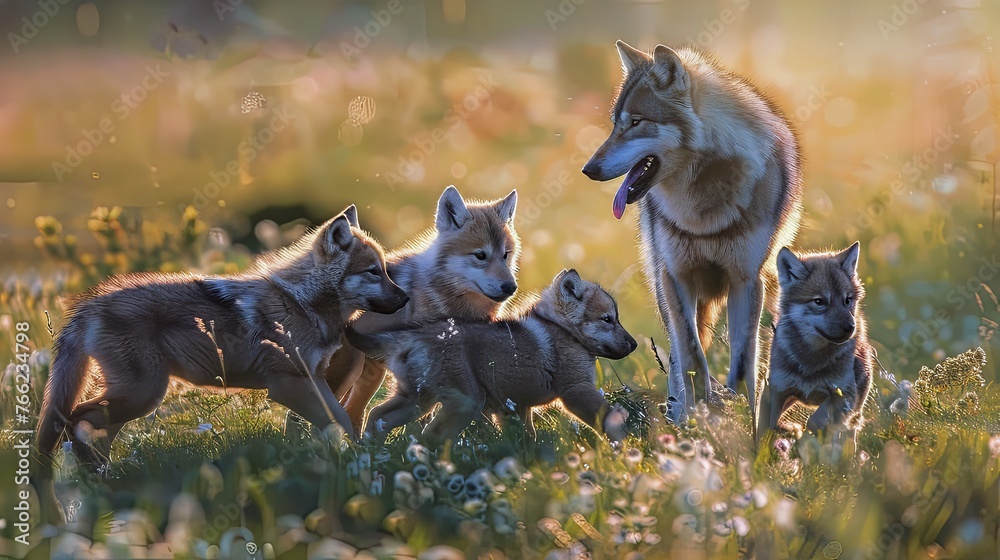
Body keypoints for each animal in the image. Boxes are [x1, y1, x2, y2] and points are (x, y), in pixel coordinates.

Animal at [36, 206, 408, 468]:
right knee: (75, 420)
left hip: (132, 399)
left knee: (89, 431)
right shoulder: (287, 384)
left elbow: (330, 422)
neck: (302, 302)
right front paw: (354, 459)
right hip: (143, 395)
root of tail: (89, 304)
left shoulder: (312, 380)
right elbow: (340, 421)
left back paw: (102, 478)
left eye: (386, 271)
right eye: (374, 272)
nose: (405, 298)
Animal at [347, 269, 636, 445]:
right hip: (464, 402)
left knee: (377, 415)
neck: (562, 329)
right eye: (608, 319)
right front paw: (627, 447)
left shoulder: (516, 407)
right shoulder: (576, 391)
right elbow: (609, 420)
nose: (634, 345)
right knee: (430, 435)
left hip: (416, 400)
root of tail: (413, 337)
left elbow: (526, 437)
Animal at [582, 41, 803, 427]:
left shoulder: (747, 280)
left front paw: (741, 418)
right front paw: (699, 415)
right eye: (614, 125)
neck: (705, 205)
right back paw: (678, 414)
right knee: (676, 356)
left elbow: (743, 362)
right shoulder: (677, 276)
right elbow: (692, 356)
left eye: (636, 123)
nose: (588, 169)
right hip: (663, 288)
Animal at [756, 242, 873, 439]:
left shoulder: (844, 395)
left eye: (847, 300)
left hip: (854, 413)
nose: (850, 327)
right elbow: (765, 428)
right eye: (819, 302)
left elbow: (817, 419)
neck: (811, 361)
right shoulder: (775, 390)